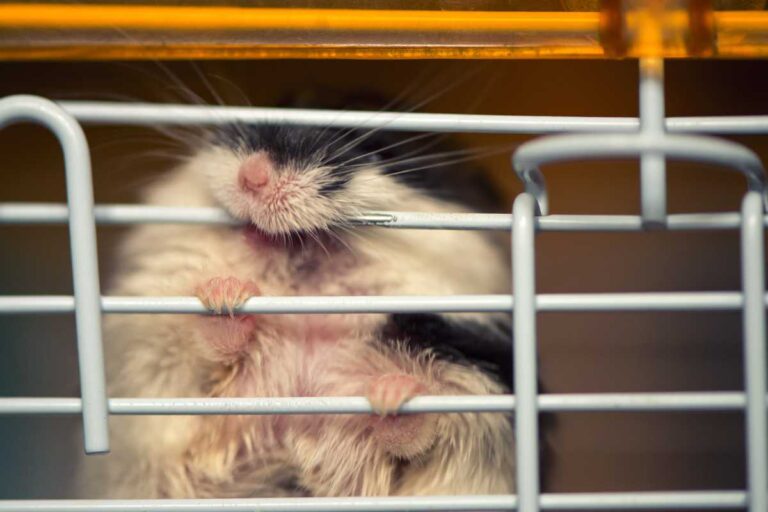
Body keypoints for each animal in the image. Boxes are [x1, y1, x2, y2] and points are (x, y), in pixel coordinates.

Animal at [79, 102, 517, 499]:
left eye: (378, 149)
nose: (253, 175)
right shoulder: (157, 359)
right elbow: (206, 352)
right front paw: (225, 293)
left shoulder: (471, 375)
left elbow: (426, 436)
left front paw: (395, 393)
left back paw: (391, 396)